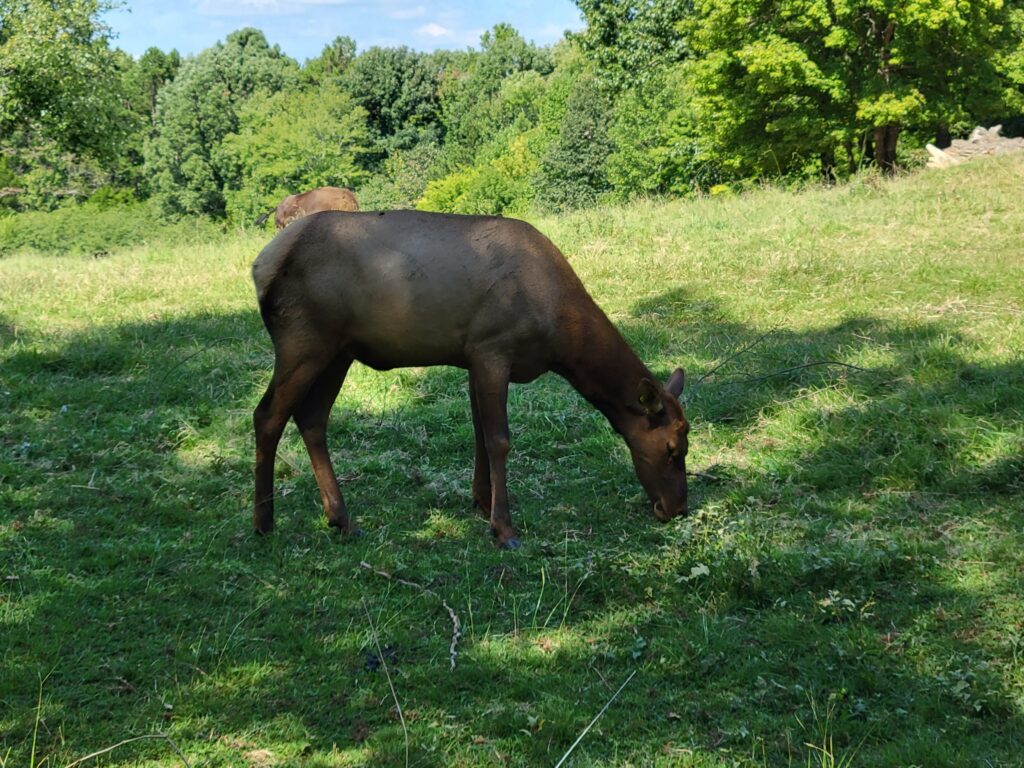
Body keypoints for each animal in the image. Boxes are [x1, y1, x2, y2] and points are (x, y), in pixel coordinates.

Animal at [251, 210, 690, 549]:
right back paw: (264, 522)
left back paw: (341, 518)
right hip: (303, 341)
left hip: (338, 352)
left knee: (312, 418)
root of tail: (260, 267)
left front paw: (481, 501)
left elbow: (479, 432)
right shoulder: (492, 347)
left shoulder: (472, 358)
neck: (559, 337)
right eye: (671, 448)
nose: (677, 509)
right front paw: (505, 528)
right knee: (267, 415)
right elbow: (499, 439)